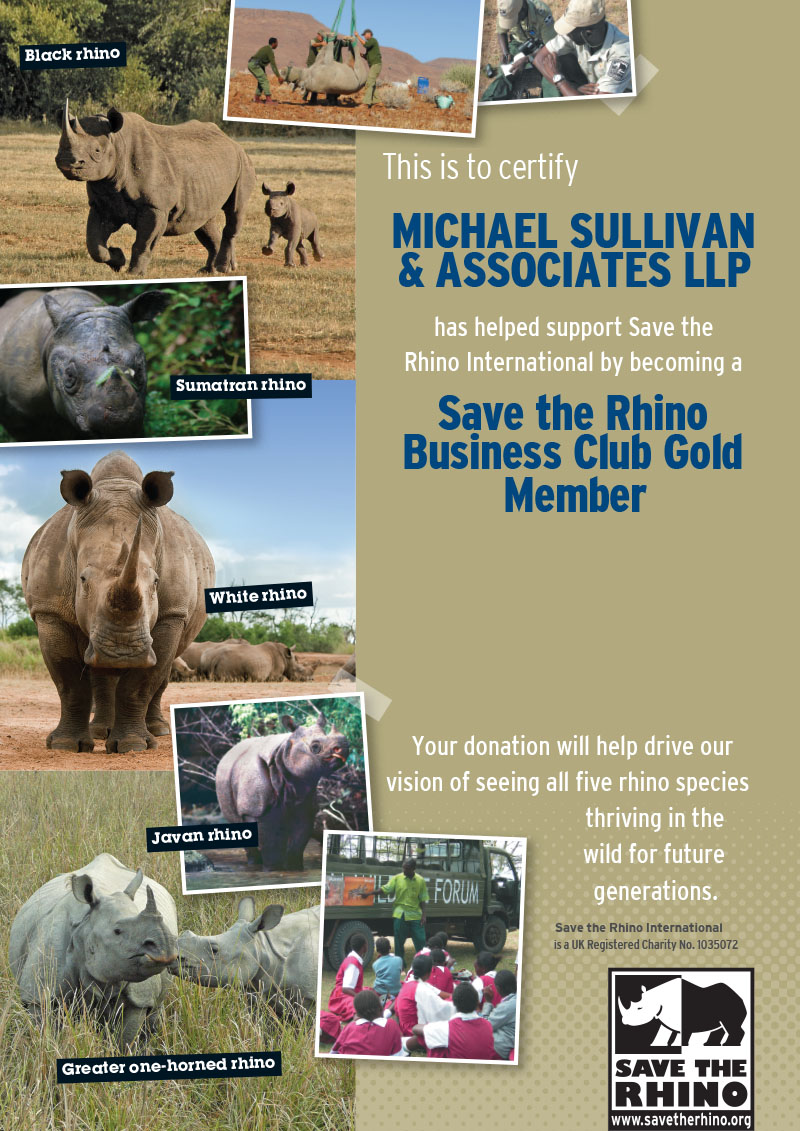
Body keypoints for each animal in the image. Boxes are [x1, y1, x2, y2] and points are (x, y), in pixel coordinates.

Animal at [9, 853, 177, 1046]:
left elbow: (125, 1041)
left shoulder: (139, 998)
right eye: (117, 931)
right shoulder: (40, 994)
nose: (165, 945)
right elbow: (47, 1035)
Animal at [21, 450, 215, 753]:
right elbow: (68, 681)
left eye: (156, 582)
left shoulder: (172, 614)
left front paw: (134, 745)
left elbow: (142, 682)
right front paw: (65, 746)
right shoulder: (49, 611)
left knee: (163, 670)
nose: (124, 651)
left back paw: (158, 731)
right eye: (83, 580)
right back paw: (100, 731)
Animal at [55, 99, 255, 277]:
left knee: (234, 211)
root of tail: (232, 141)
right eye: (59, 145)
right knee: (204, 220)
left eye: (97, 151)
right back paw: (212, 270)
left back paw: (222, 269)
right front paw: (118, 260)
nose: (66, 161)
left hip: (243, 163)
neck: (118, 144)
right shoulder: (101, 204)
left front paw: (134, 274)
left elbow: (144, 242)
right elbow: (94, 244)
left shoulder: (156, 207)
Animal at [216, 711, 349, 870]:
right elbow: (268, 841)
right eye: (315, 747)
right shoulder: (254, 809)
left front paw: (294, 869)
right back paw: (254, 865)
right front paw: (272, 869)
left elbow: (298, 841)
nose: (344, 748)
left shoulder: (305, 802)